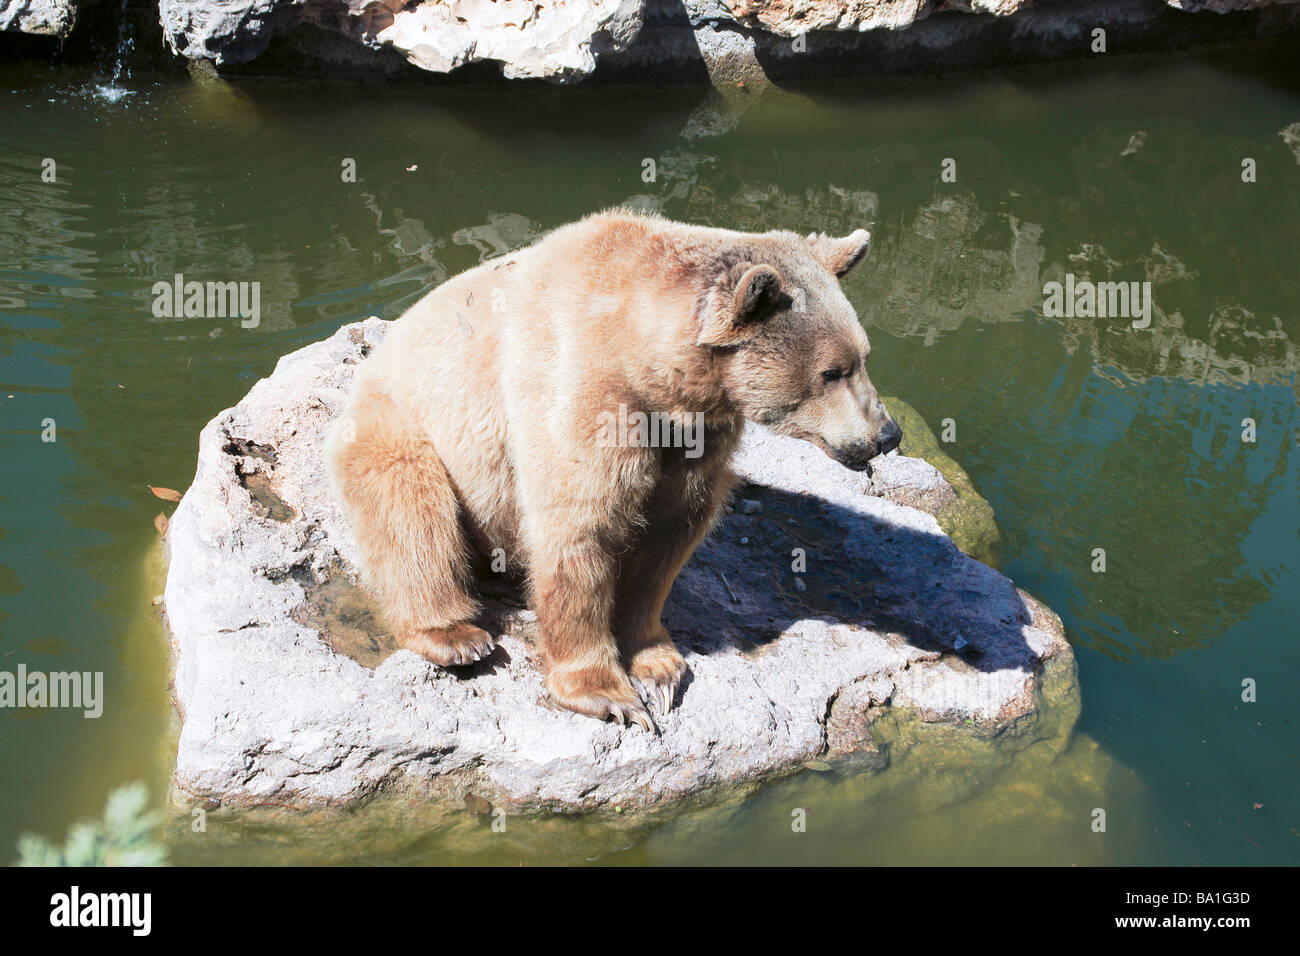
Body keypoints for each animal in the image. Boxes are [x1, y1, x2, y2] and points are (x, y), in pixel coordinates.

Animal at [326, 210, 901, 730]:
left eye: (864, 356)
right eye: (832, 371)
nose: (887, 435)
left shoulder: (693, 439)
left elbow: (670, 533)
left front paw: (660, 666)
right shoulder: (581, 393)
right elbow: (580, 528)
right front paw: (608, 694)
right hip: (402, 428)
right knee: (411, 512)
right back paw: (455, 637)